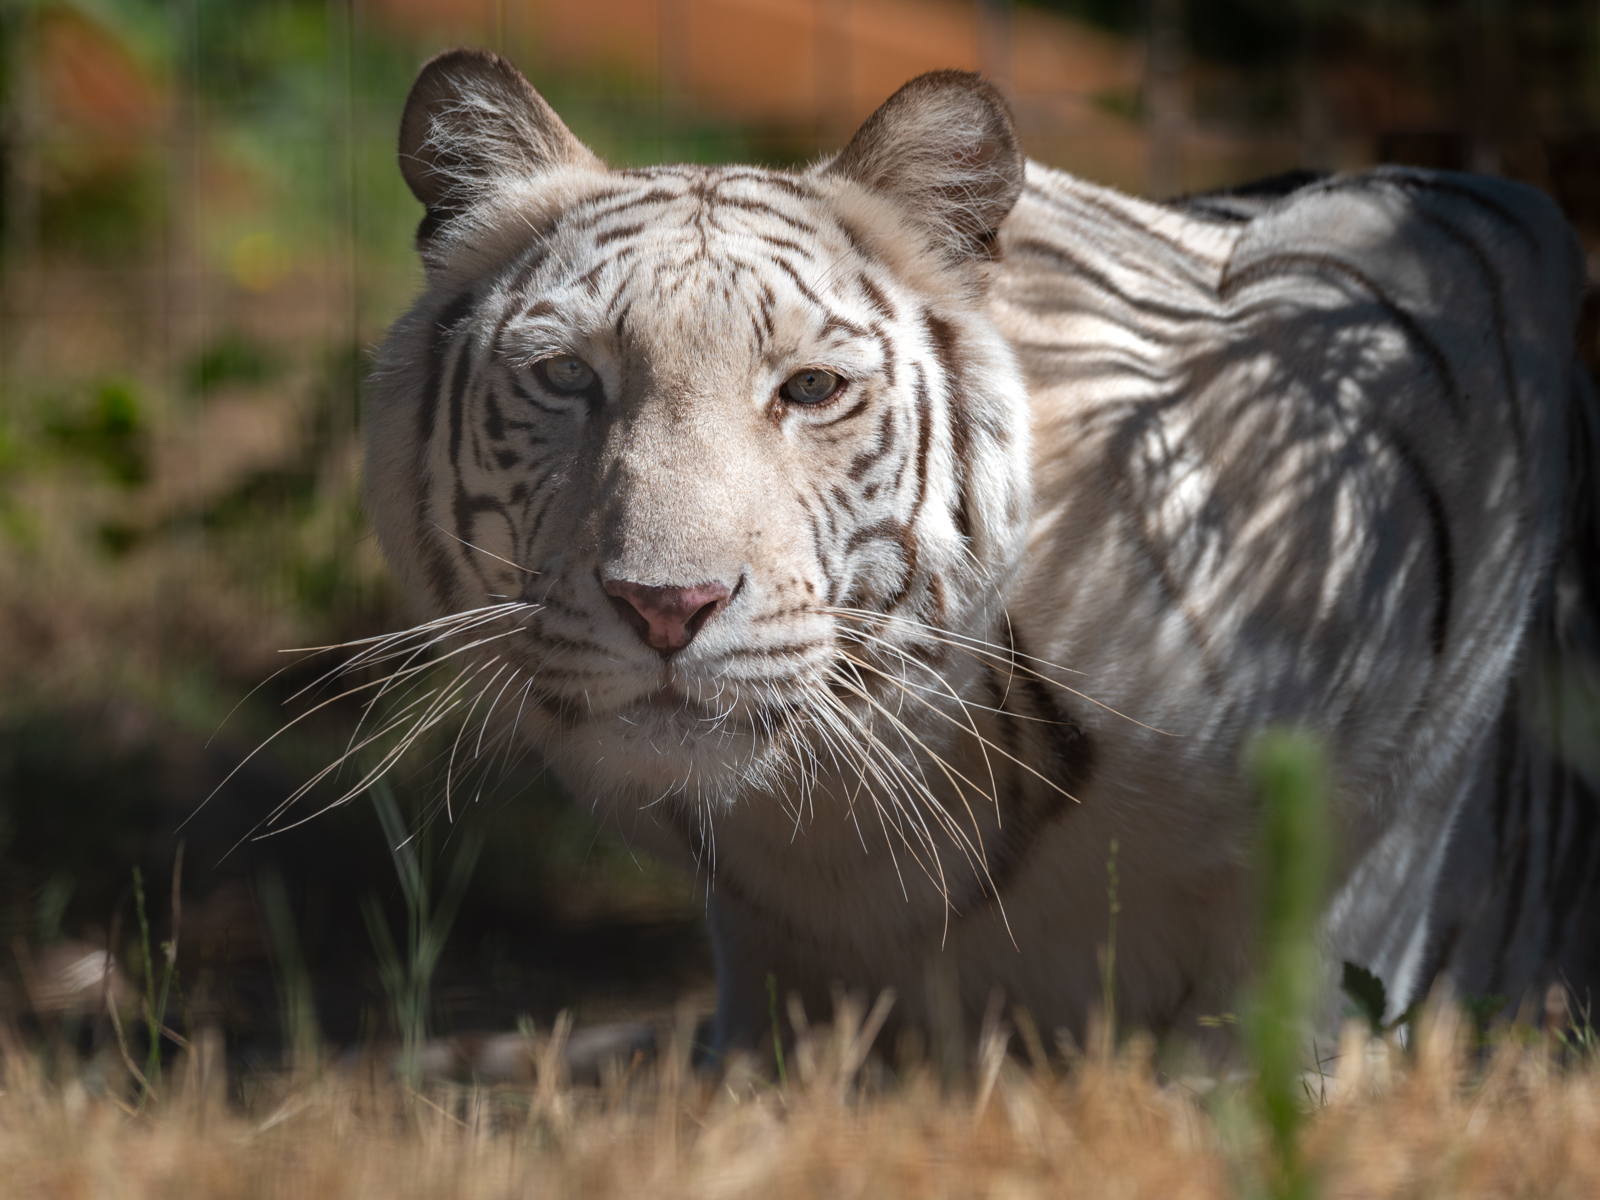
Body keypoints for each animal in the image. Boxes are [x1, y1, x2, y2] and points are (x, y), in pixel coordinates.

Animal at [359, 47, 1600, 1050]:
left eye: (810, 389)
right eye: (567, 377)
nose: (669, 605)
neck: (855, 810)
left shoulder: (1463, 286)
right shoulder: (774, 969)